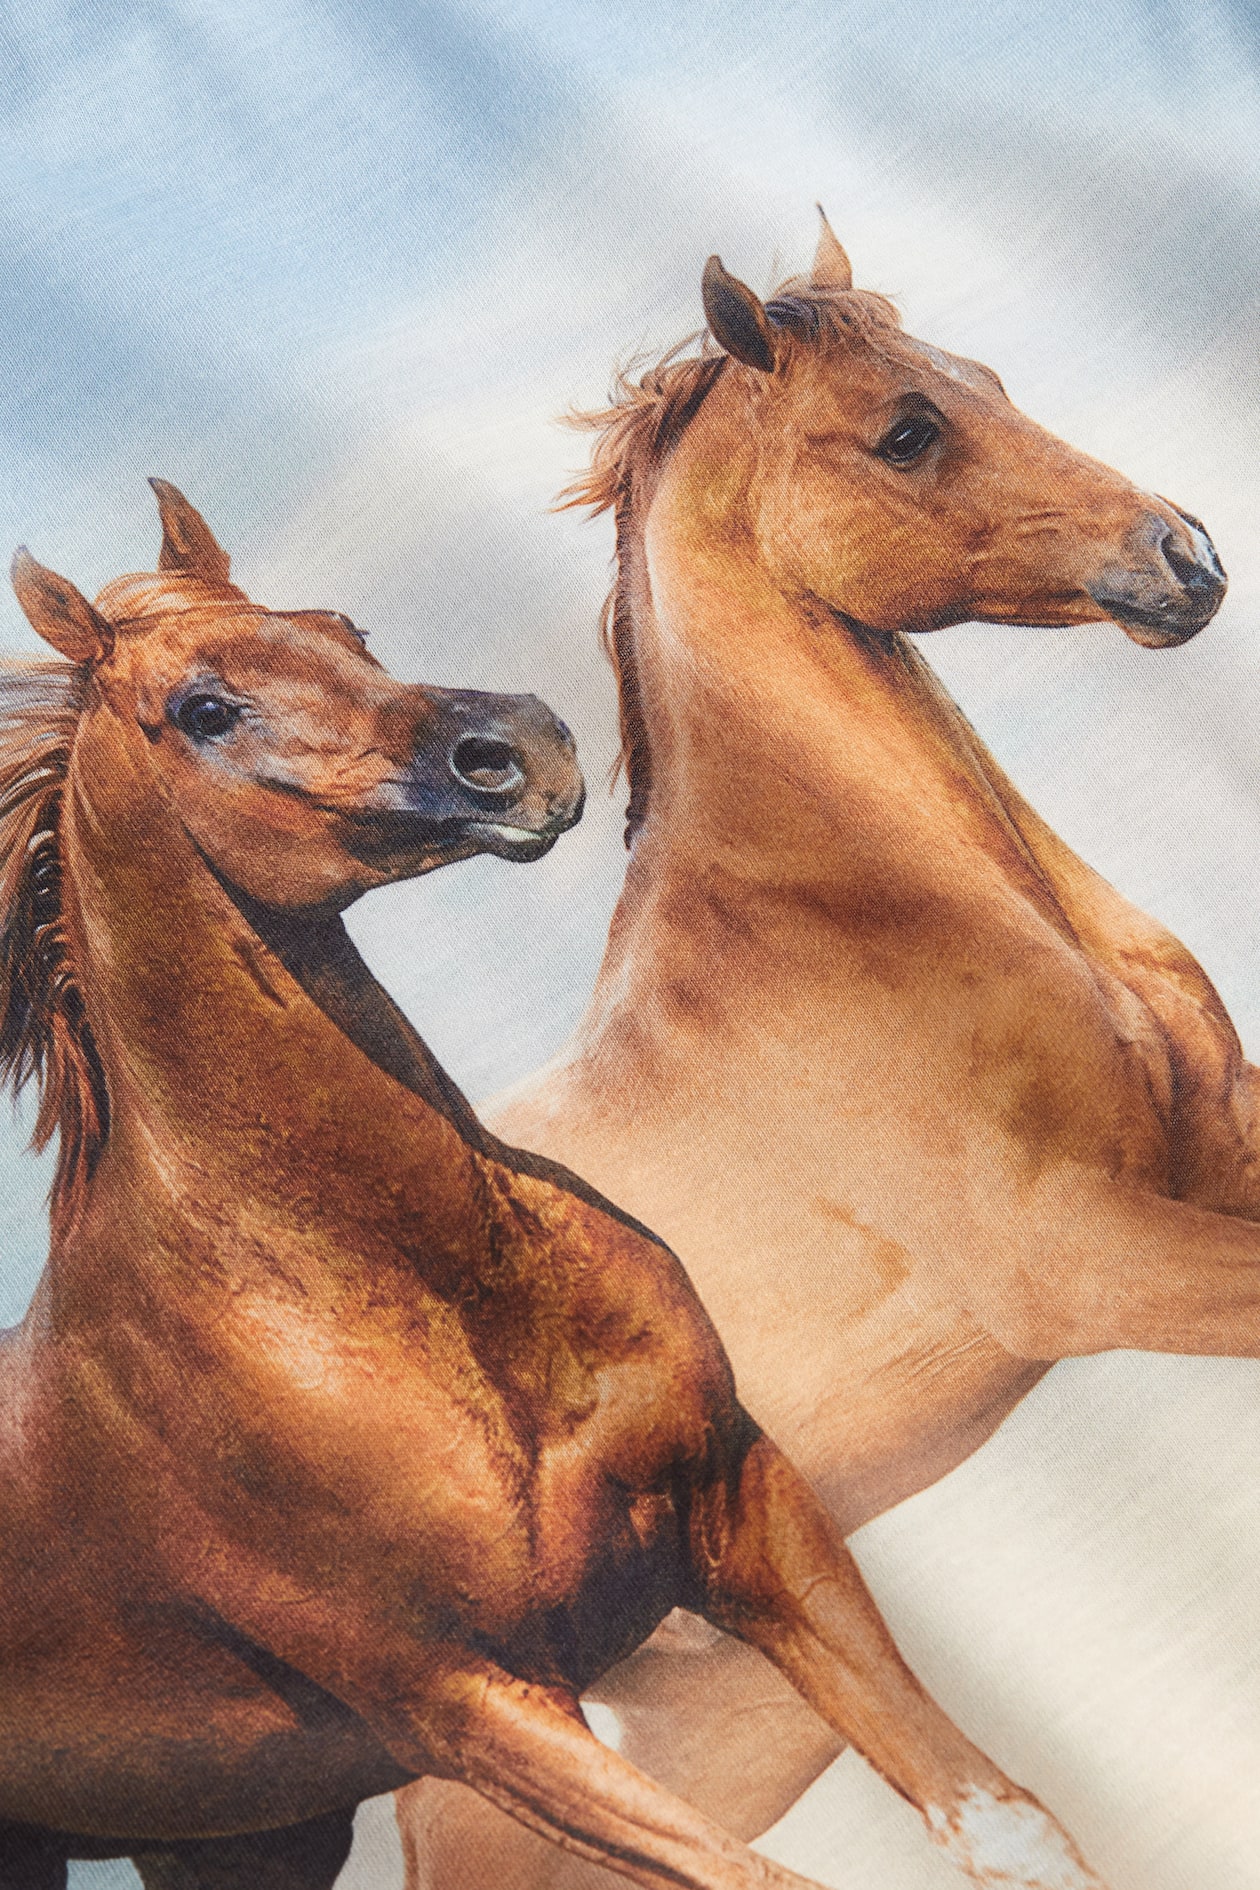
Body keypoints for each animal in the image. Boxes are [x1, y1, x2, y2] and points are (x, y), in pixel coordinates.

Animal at [0, 480, 1110, 1890]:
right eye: (204, 709)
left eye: (345, 629)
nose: (518, 747)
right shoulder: (476, 1713)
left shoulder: (743, 1504)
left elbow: (1000, 1821)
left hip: (242, 1844)